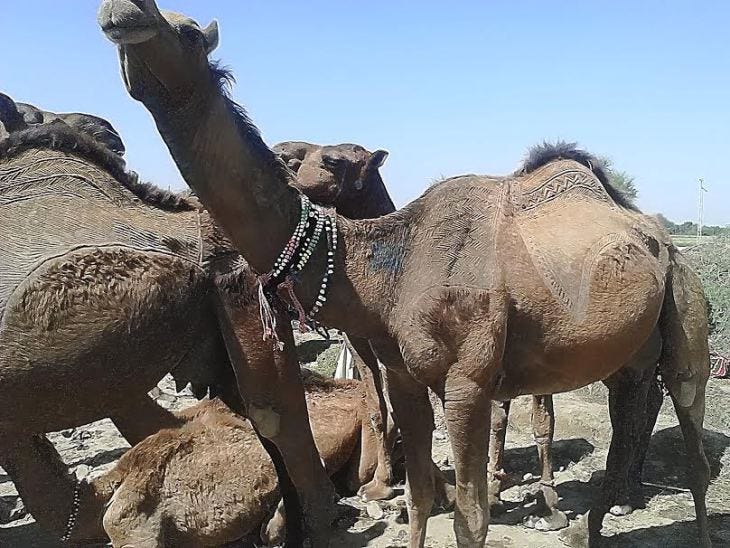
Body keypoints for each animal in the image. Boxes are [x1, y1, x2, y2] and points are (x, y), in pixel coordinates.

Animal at [99, 3, 712, 547]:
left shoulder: (468, 380)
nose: (120, 11)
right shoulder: (402, 376)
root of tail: (659, 236)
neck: (387, 267)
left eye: (187, 33)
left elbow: (470, 518)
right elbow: (418, 497)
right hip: (629, 348)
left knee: (691, 428)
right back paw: (591, 522)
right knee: (632, 403)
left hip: (686, 305)